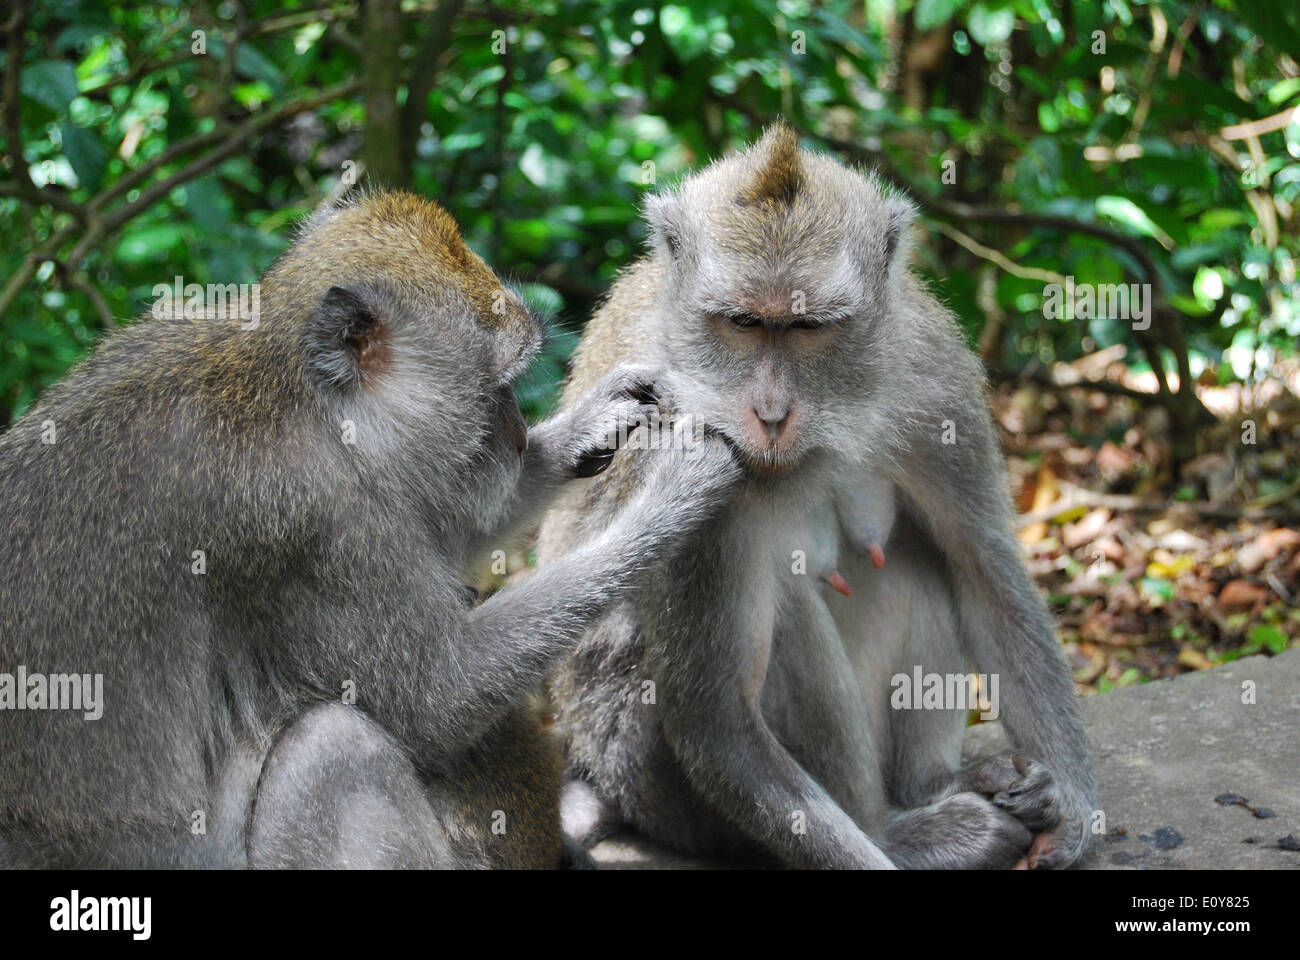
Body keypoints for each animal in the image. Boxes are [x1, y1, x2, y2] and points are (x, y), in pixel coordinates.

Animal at [0, 190, 741, 869]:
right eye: (497, 382)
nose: (515, 431)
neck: (296, 391)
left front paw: (594, 421)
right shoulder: (316, 523)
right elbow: (436, 698)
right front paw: (672, 492)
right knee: (331, 751)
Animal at [538, 124, 1098, 870]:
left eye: (808, 328)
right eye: (743, 323)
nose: (771, 413)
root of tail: (601, 774)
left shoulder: (932, 377)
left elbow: (984, 570)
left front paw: (1074, 814)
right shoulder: (689, 451)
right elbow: (718, 717)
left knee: (915, 561)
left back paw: (937, 786)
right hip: (642, 762)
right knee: (786, 603)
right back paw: (902, 832)